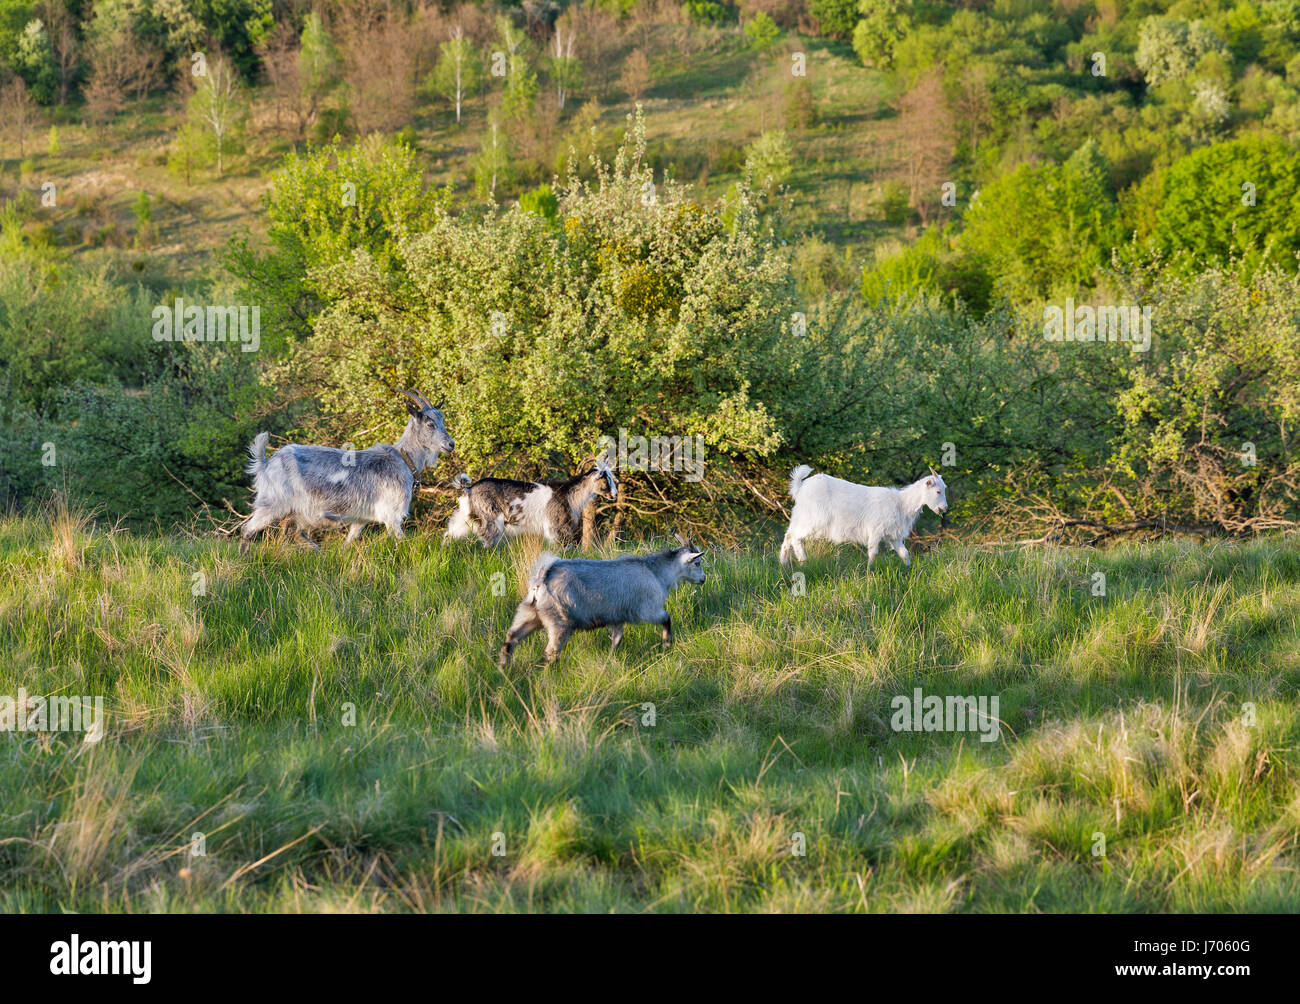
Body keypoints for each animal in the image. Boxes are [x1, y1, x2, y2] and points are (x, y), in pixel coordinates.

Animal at [239, 389, 454, 553]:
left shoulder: (361, 519)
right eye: (430, 424)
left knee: (293, 532)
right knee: (247, 529)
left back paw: (317, 552)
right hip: (273, 502)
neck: (404, 460)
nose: (450, 444)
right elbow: (402, 543)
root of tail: (266, 463)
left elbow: (349, 542)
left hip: (297, 511)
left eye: (443, 421)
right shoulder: (392, 516)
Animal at [444, 461, 617, 547]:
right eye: (606, 479)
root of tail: (468, 489)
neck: (569, 495)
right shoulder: (557, 527)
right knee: (488, 542)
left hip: (466, 517)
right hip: (490, 517)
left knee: (450, 533)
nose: (615, 495)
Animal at [498, 534, 706, 666]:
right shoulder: (648, 610)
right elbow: (666, 618)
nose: (703, 579)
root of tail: (543, 577)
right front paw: (666, 643)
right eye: (697, 563)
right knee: (551, 652)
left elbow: (617, 638)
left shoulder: (617, 617)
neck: (657, 573)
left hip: (530, 613)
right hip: (559, 621)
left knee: (511, 638)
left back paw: (504, 668)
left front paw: (610, 657)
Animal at [779, 464, 947, 567]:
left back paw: (783, 563)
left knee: (788, 535)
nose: (944, 508)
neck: (901, 503)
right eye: (938, 491)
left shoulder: (894, 536)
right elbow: (873, 552)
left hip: (801, 517)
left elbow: (904, 553)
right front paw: (869, 571)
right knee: (795, 537)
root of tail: (800, 487)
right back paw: (802, 560)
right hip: (813, 519)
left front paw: (909, 570)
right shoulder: (876, 530)